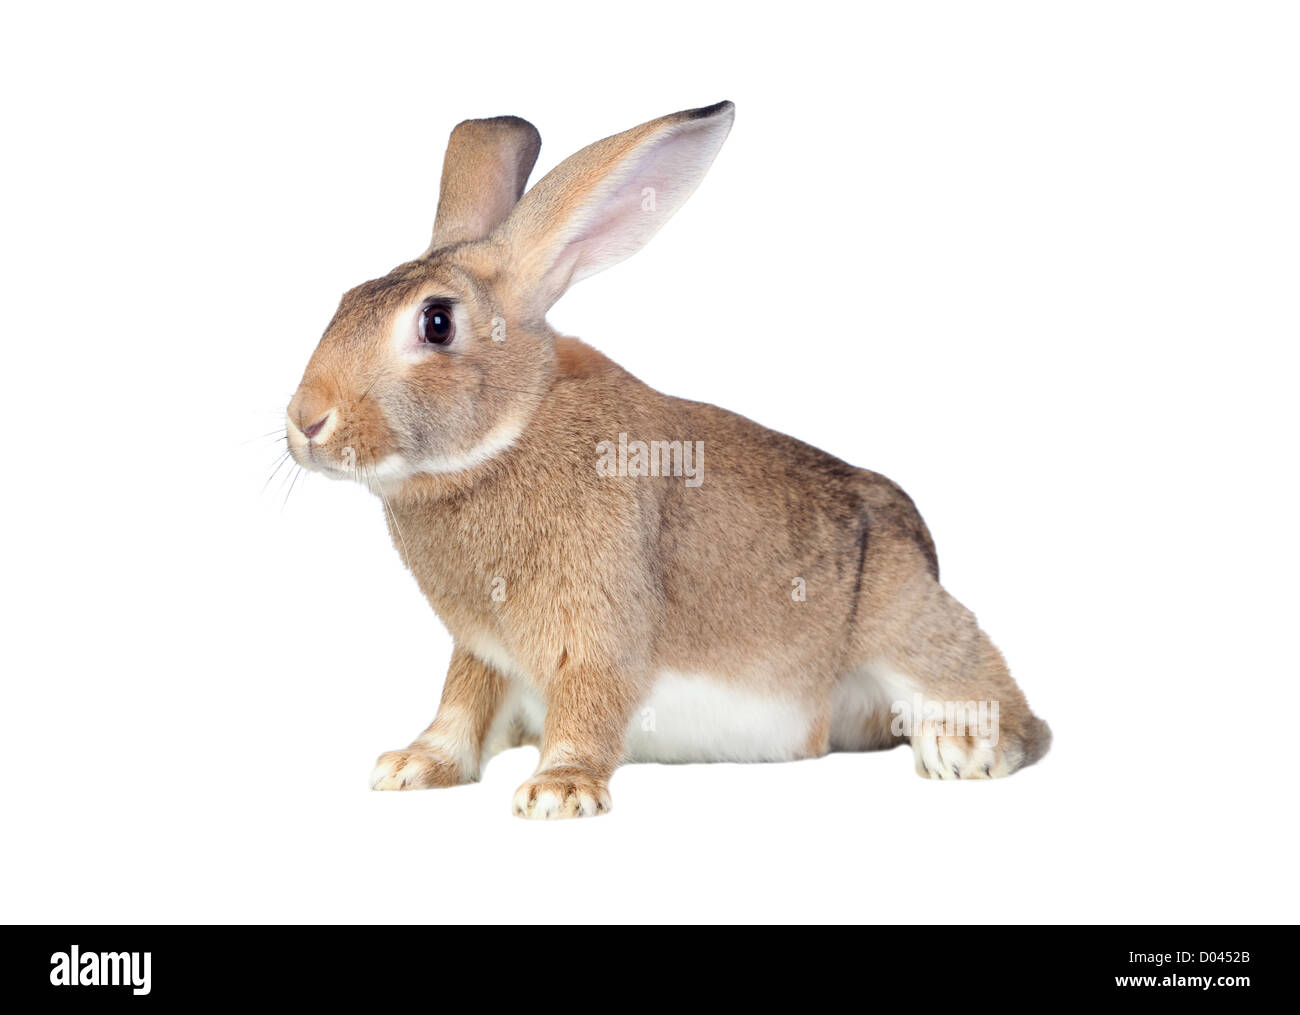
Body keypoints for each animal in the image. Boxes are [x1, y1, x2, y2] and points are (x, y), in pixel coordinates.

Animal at [285, 101, 1051, 819]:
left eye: (437, 322)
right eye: (345, 300)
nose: (305, 421)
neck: (512, 431)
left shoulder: (600, 623)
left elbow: (587, 701)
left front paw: (558, 792)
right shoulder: (482, 650)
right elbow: (461, 705)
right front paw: (413, 766)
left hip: (899, 616)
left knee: (1003, 706)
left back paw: (960, 749)